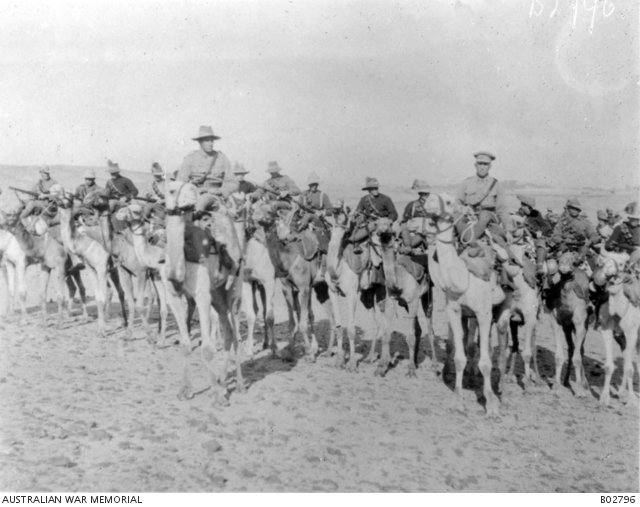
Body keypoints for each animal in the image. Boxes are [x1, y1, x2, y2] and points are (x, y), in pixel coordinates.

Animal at [163, 181, 244, 402]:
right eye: (171, 189)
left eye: (192, 188)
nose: (193, 200)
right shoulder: (174, 297)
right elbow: (185, 344)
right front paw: (186, 391)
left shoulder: (201, 297)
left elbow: (207, 348)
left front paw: (217, 397)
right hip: (217, 295)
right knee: (227, 332)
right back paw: (224, 383)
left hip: (235, 291)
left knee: (235, 335)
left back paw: (237, 385)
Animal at [252, 200, 335, 362]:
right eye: (256, 208)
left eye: (269, 211)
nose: (255, 217)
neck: (288, 258)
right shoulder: (287, 289)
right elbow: (292, 322)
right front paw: (290, 352)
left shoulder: (304, 288)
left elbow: (302, 323)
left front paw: (309, 354)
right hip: (321, 288)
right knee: (330, 314)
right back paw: (329, 352)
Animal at [324, 206, 390, 373]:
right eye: (334, 212)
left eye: (345, 213)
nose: (336, 211)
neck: (338, 269)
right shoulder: (332, 292)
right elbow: (339, 327)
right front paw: (338, 361)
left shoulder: (351, 294)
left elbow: (351, 330)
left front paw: (352, 364)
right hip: (367, 293)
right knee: (376, 322)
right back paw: (370, 358)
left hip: (383, 288)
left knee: (385, 321)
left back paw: (384, 362)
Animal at [375, 217, 437, 377]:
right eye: (376, 223)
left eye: (390, 223)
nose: (382, 231)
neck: (399, 282)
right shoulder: (391, 300)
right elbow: (386, 334)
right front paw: (381, 368)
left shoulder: (413, 300)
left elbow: (410, 336)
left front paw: (410, 370)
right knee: (419, 329)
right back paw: (415, 361)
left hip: (426, 296)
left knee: (430, 329)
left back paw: (435, 366)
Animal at [424, 194, 504, 416]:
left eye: (449, 201)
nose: (428, 200)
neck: (464, 278)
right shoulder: (455, 310)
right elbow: (459, 357)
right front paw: (458, 402)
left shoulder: (483, 313)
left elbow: (485, 362)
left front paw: (491, 407)